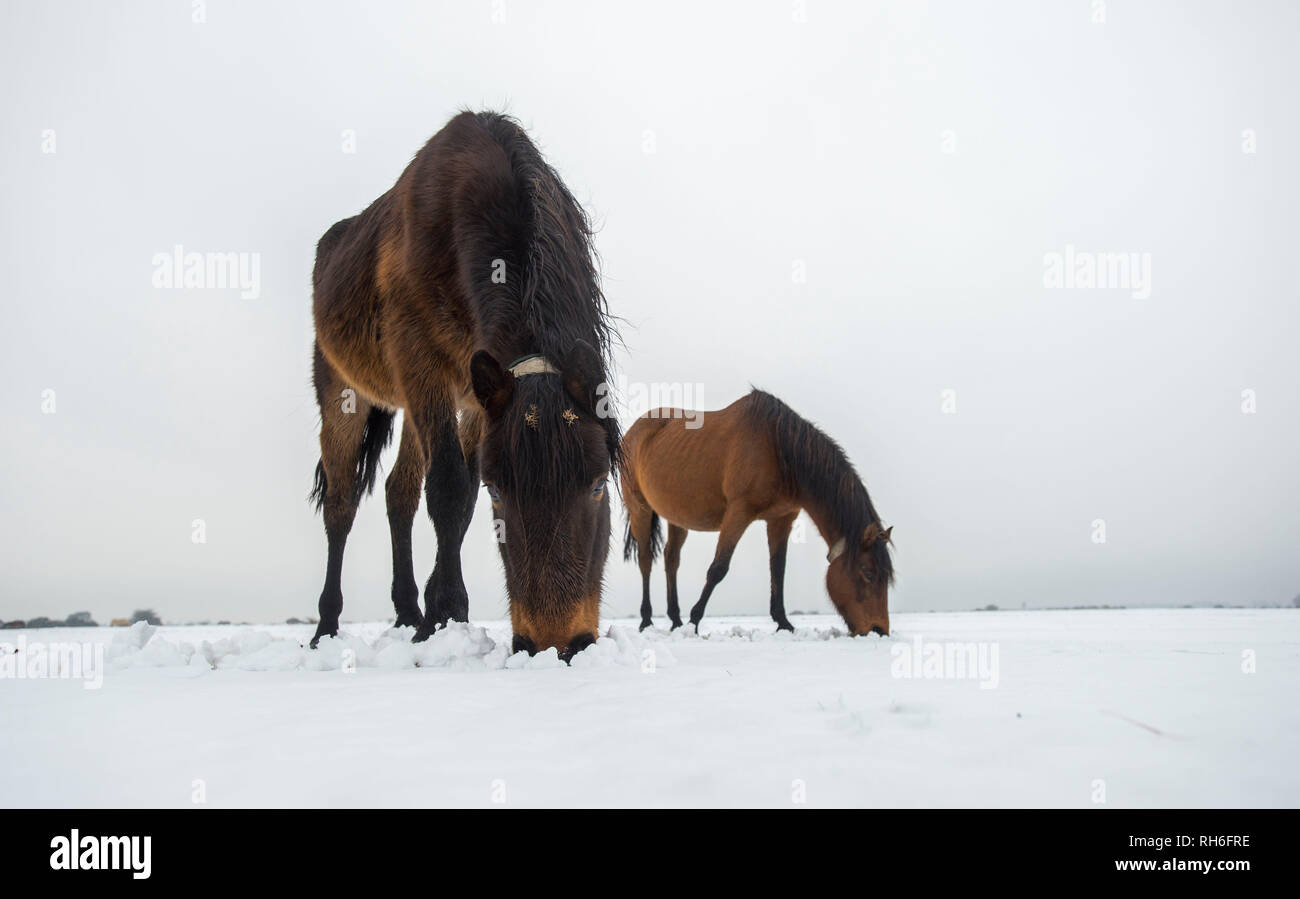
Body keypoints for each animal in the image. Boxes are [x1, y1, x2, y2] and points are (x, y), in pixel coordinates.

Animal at [308, 111, 620, 661]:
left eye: (599, 483)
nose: (556, 645)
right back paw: (326, 627)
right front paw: (446, 612)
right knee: (342, 506)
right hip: (343, 394)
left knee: (398, 494)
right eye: (501, 490)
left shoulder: (475, 397)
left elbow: (458, 494)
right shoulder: (423, 363)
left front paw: (438, 613)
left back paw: (406, 613)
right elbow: (453, 488)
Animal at [620, 390, 893, 636]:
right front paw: (695, 621)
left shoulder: (781, 518)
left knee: (671, 559)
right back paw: (647, 620)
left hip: (677, 517)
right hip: (639, 509)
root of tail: (631, 434)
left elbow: (778, 569)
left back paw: (675, 620)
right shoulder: (739, 512)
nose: (879, 629)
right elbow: (718, 568)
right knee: (645, 560)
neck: (777, 448)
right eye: (868, 574)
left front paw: (783, 623)